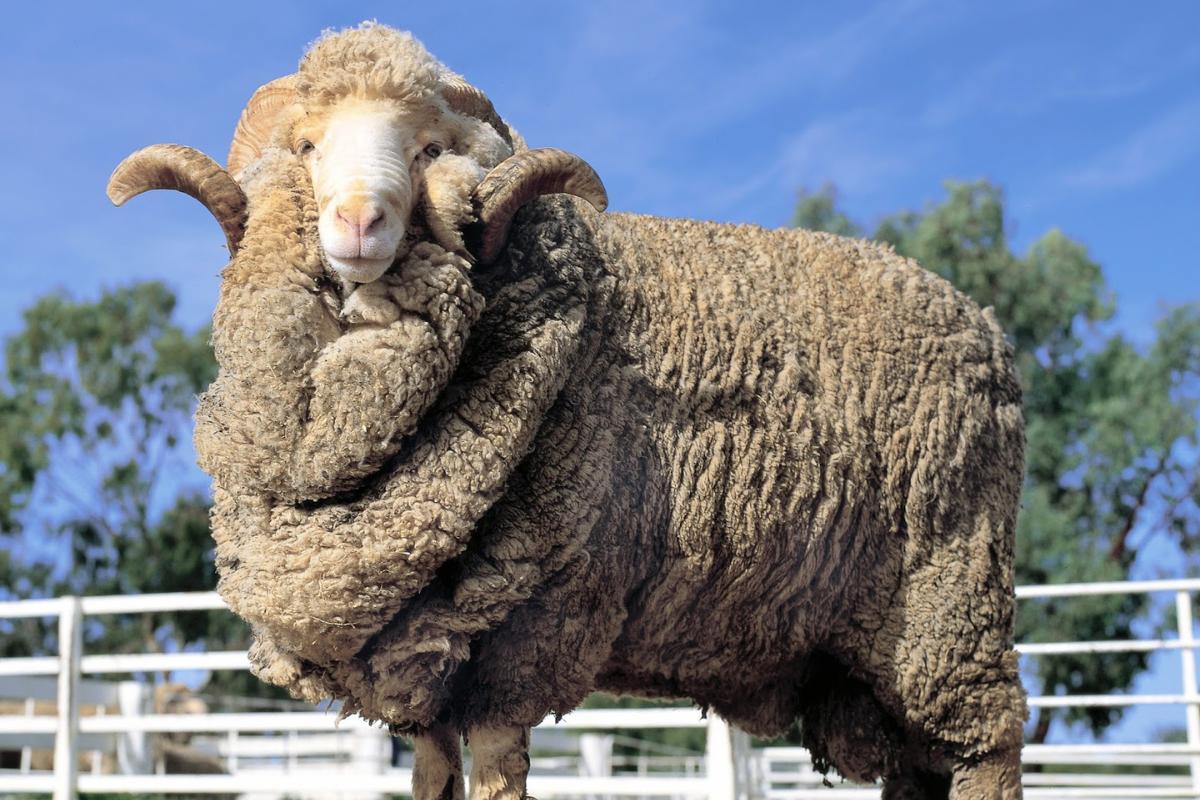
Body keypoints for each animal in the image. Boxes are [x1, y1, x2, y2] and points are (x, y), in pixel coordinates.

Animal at [109, 23, 1027, 800]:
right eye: (306, 145)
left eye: (429, 148)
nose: (360, 220)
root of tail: (982, 322)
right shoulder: (429, 659)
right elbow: (433, 773)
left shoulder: (531, 632)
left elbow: (498, 774)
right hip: (872, 659)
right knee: (918, 765)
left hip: (950, 601)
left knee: (989, 744)